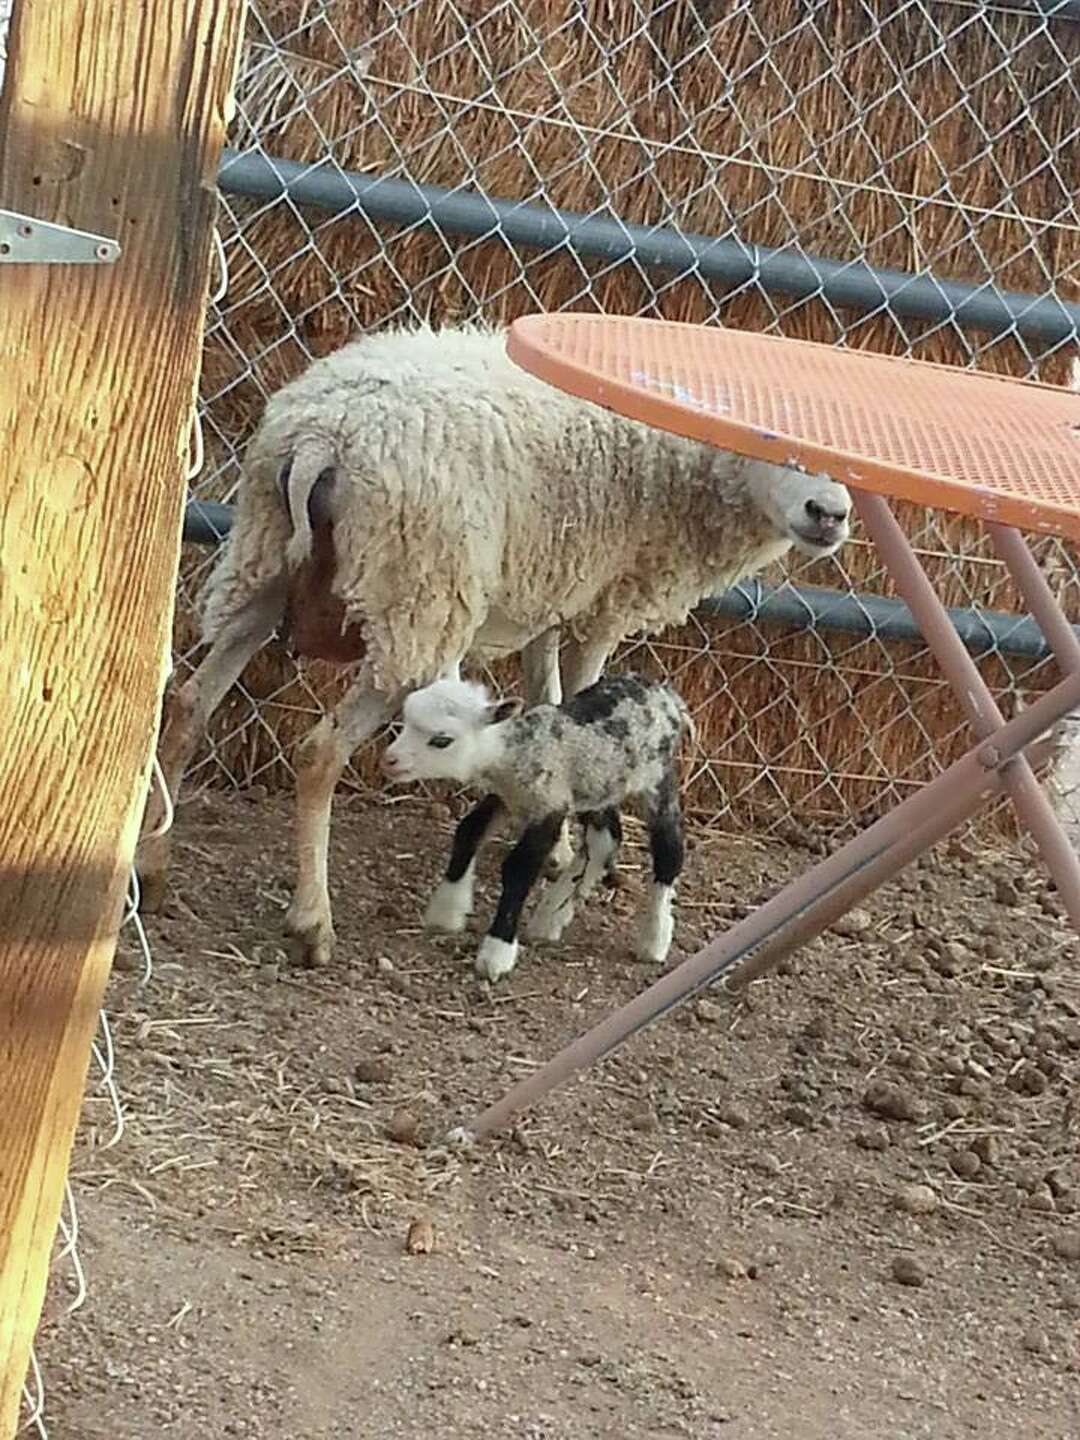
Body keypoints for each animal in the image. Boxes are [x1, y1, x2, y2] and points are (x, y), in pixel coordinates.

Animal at [382, 672, 692, 979]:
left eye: (442, 740)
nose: (390, 761)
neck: (516, 750)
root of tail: (668, 695)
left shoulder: (549, 805)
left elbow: (519, 869)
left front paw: (496, 952)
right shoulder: (508, 797)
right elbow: (468, 831)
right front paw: (446, 913)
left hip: (656, 777)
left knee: (670, 850)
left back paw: (654, 940)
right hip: (599, 784)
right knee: (606, 839)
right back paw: (550, 917)